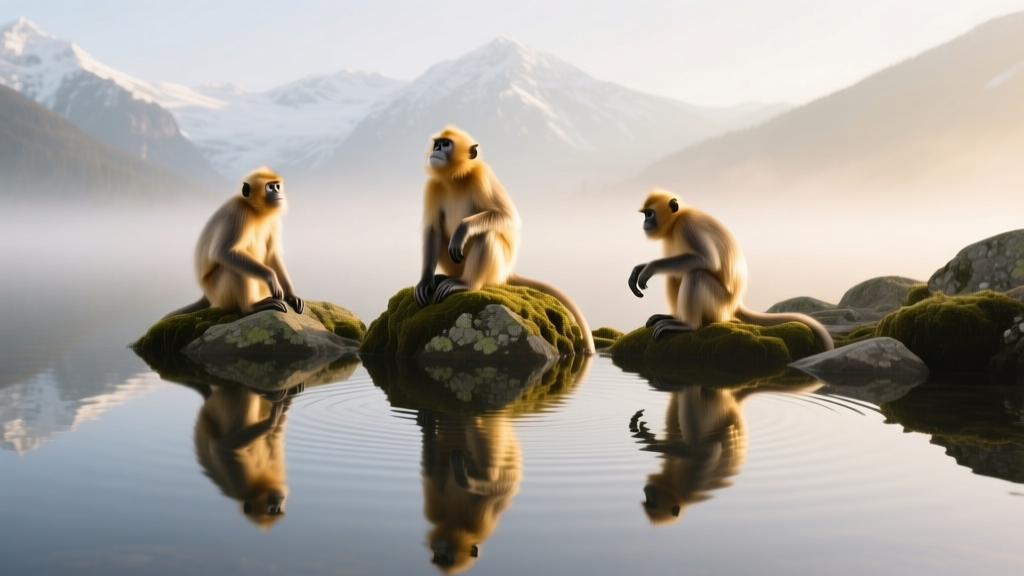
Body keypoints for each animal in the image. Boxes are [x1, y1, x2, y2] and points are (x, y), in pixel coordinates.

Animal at [163, 166, 303, 319]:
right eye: (270, 187)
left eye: (277, 186)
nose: (278, 191)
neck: (253, 208)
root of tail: (206, 295)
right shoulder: (238, 211)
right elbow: (223, 252)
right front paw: (271, 278)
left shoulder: (274, 219)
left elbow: (271, 254)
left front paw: (291, 295)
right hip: (218, 291)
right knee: (232, 266)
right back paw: (251, 307)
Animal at [414, 126, 594, 354]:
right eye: (437, 143)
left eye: (446, 144)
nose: (436, 149)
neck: (456, 178)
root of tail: (508, 272)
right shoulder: (433, 185)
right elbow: (433, 231)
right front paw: (425, 282)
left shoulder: (481, 176)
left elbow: (508, 217)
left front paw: (463, 229)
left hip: (496, 269)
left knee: (485, 234)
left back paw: (466, 283)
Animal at [628, 189, 833, 350]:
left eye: (649, 214)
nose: (645, 223)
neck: (677, 219)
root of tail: (735, 303)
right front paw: (639, 268)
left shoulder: (688, 226)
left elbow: (708, 261)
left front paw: (649, 267)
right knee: (677, 273)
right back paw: (674, 316)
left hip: (719, 302)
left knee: (696, 273)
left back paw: (687, 325)